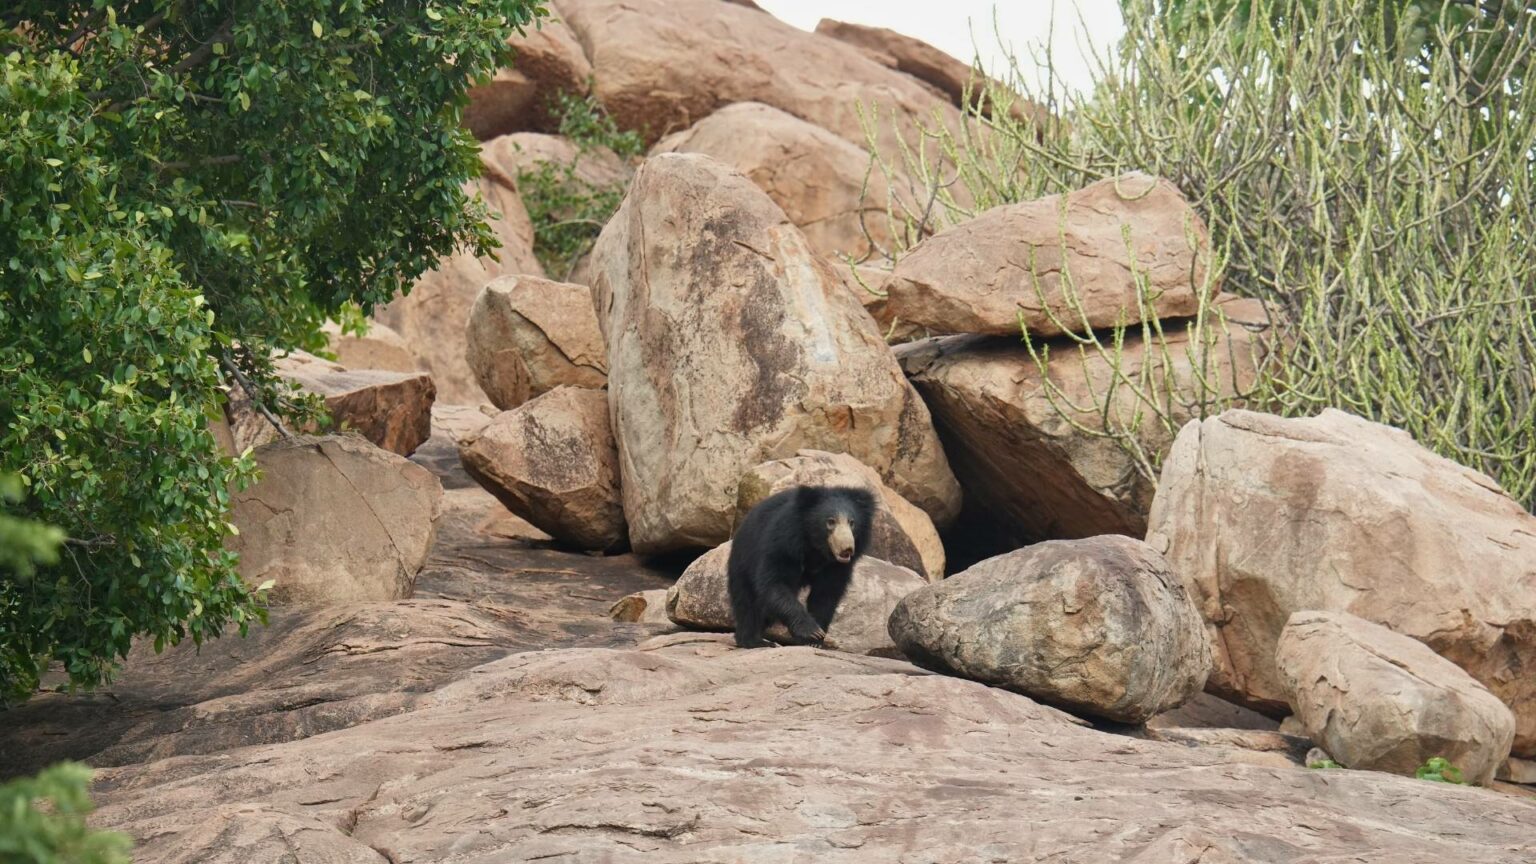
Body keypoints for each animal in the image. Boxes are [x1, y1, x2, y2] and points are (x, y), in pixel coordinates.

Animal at [727, 484, 876, 649]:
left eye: (852, 523)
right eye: (830, 522)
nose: (847, 549)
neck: (817, 548)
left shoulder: (836, 567)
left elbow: (826, 594)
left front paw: (815, 641)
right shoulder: (784, 544)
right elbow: (775, 583)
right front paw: (812, 631)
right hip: (743, 560)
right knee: (749, 602)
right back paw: (754, 641)